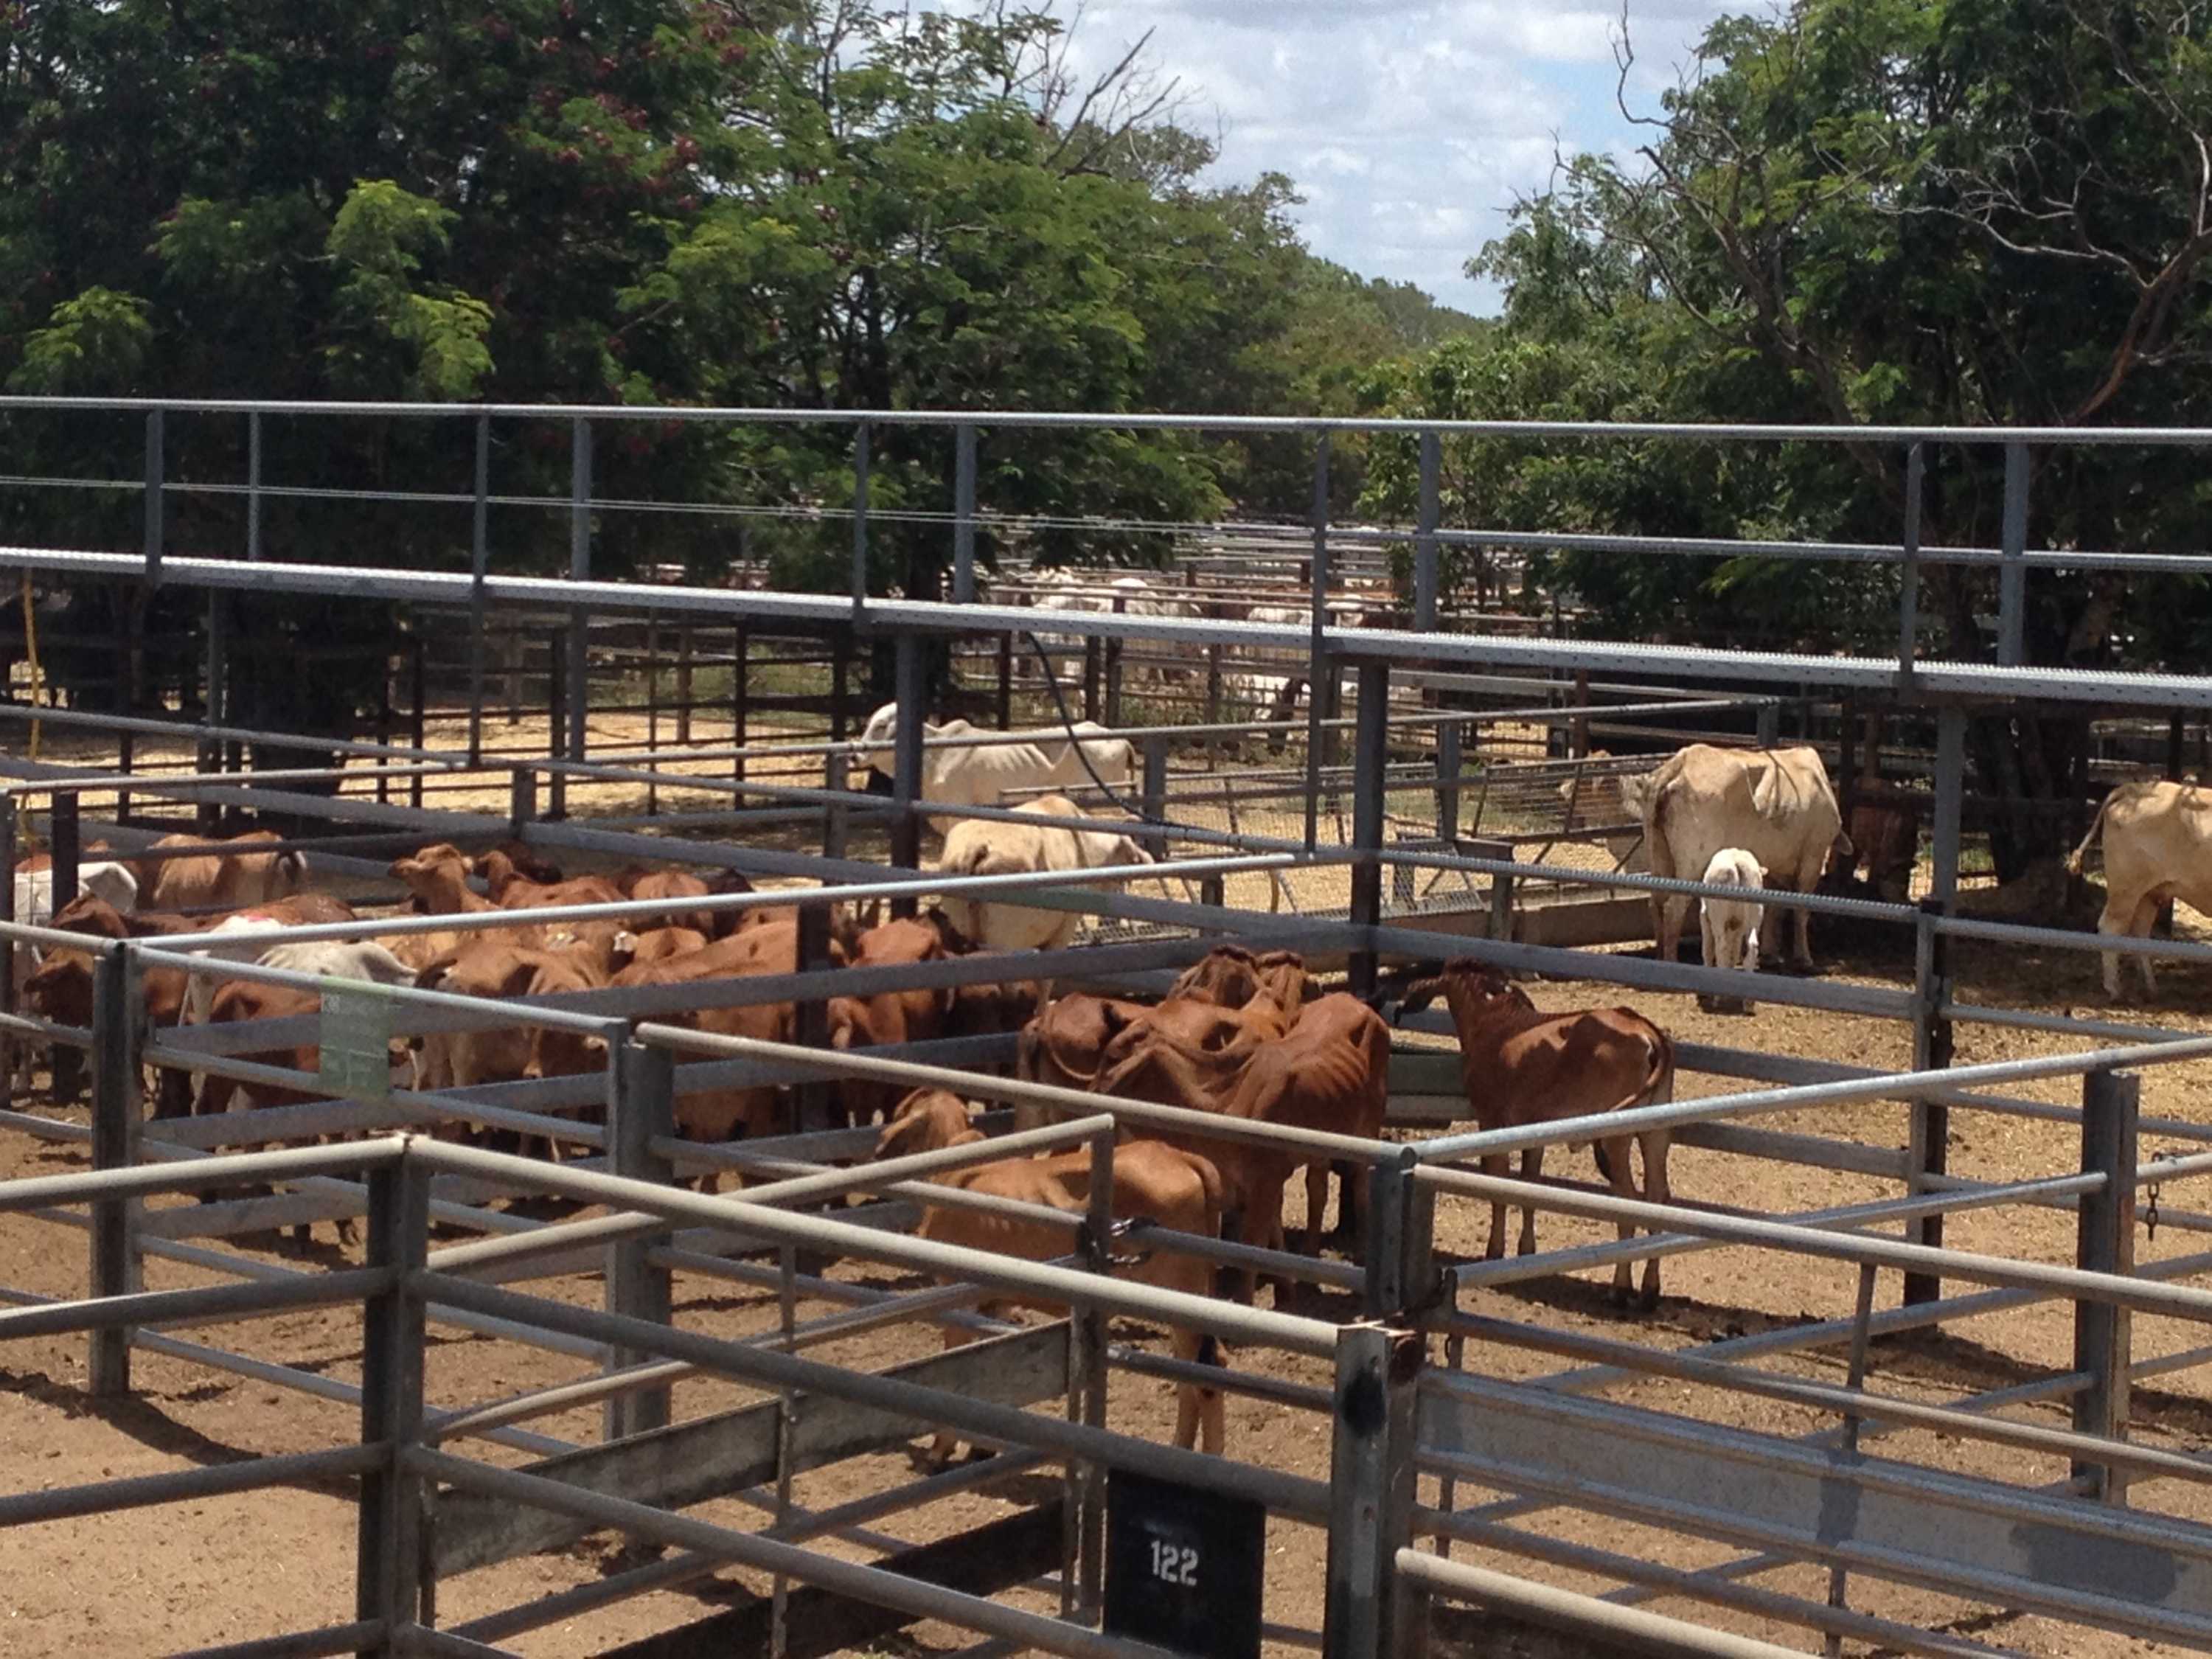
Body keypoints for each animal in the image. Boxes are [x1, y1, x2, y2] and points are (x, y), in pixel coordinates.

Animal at [1406, 961, 1674, 1308]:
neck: (1494, 1021)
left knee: (1629, 1200)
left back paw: (1620, 1289)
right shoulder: (1533, 1133)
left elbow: (1499, 1186)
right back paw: (1649, 1292)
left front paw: (1495, 1252)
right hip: (1656, 1133)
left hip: (1616, 1138)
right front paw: (1525, 1252)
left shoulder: (1492, 1124)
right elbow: (1529, 1187)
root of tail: (1647, 1031)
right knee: (1657, 1197)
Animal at [1640, 744, 1848, 972]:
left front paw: (1769, 955)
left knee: (1656, 902)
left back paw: (1660, 956)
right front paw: (1804, 959)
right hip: (1692, 863)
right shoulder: (1813, 855)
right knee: (1673, 909)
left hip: (1658, 852)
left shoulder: (1773, 863)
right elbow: (1801, 909)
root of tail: (1678, 765)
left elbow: (1774, 907)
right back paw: (1671, 960)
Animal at [2069, 779, 2212, 999]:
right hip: (2126, 889)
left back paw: (2150, 986)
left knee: (2140, 932)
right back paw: (2114, 989)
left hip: (2148, 893)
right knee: (2110, 928)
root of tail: (2132, 788)